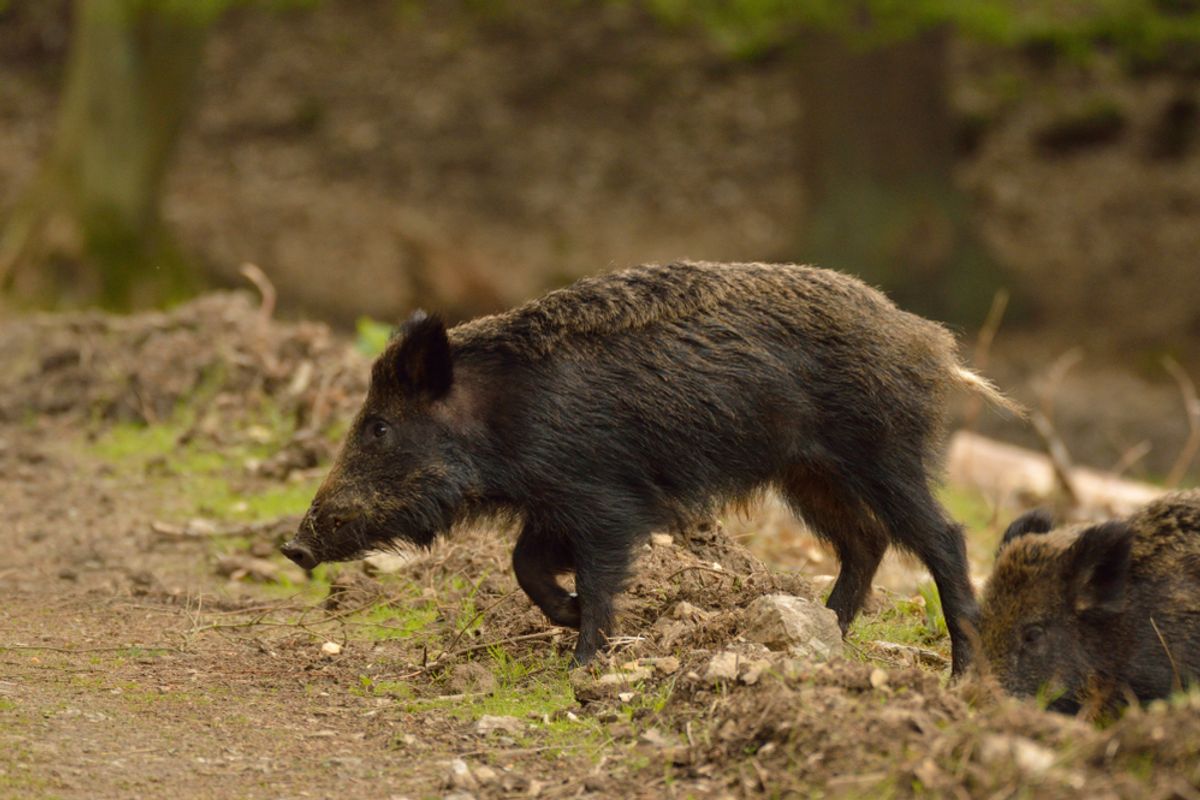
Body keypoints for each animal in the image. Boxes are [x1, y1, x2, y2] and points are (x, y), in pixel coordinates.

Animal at [282, 261, 1017, 669]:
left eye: (379, 426)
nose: (293, 546)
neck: (505, 412)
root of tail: (930, 344)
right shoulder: (555, 502)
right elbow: (524, 565)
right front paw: (567, 616)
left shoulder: (606, 500)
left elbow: (596, 574)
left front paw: (583, 663)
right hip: (808, 474)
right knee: (865, 540)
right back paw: (823, 635)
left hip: (883, 454)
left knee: (942, 538)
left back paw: (960, 673)